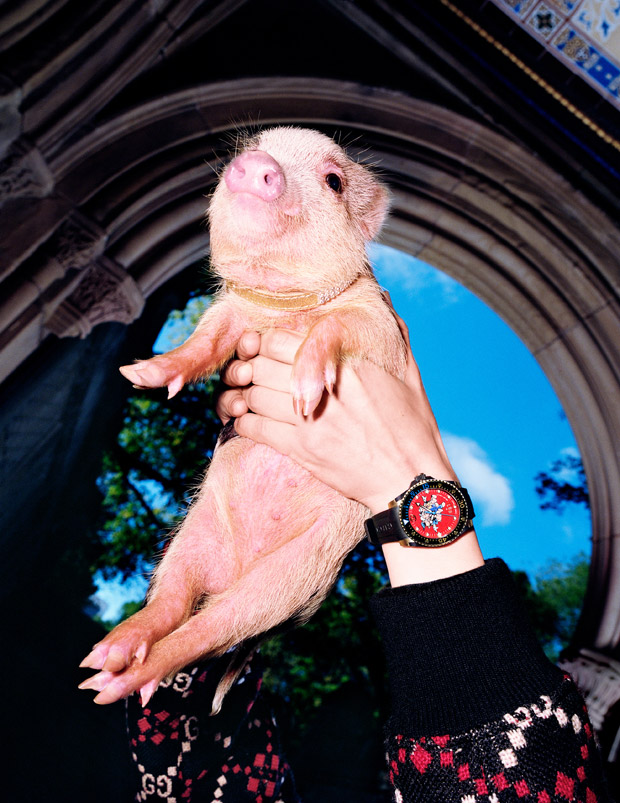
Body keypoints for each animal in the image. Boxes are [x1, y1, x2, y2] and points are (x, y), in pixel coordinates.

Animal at [79, 126, 407, 711]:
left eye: (334, 180)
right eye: (255, 145)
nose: (256, 163)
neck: (283, 311)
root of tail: (232, 573)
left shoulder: (379, 328)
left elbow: (337, 330)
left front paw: (305, 391)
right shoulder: (229, 314)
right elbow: (203, 344)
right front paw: (142, 375)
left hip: (290, 579)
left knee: (203, 634)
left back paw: (112, 679)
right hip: (190, 540)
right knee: (171, 605)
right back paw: (104, 659)